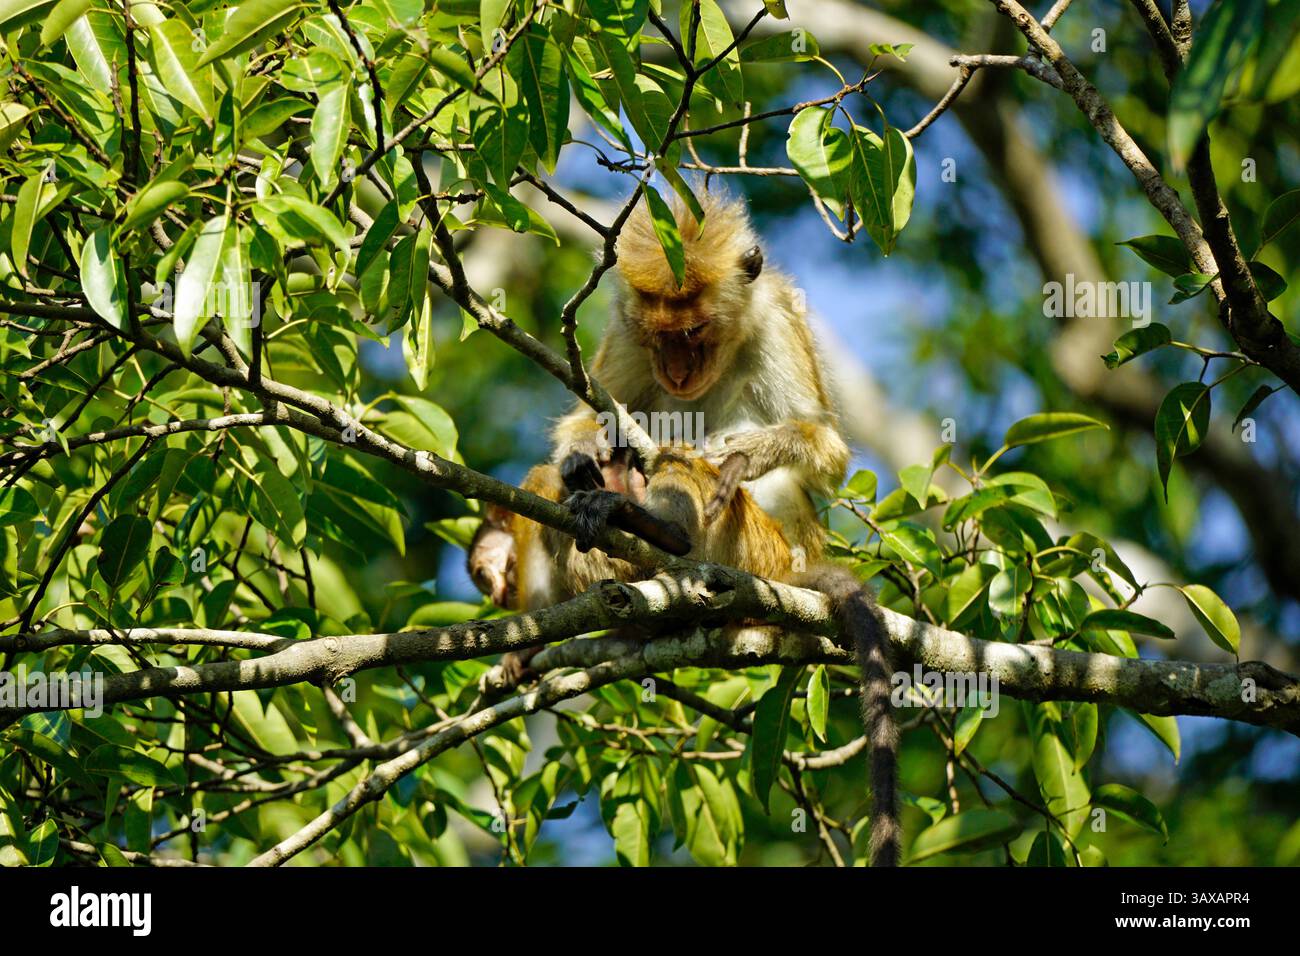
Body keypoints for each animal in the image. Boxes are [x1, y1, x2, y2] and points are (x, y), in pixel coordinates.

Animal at [465, 189, 900, 866]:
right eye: (658, 336)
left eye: (694, 332)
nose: (673, 368)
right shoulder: (624, 332)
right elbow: (580, 424)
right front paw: (584, 459)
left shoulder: (778, 317)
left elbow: (824, 447)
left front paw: (737, 455)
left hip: (759, 551)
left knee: (694, 471)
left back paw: (655, 522)